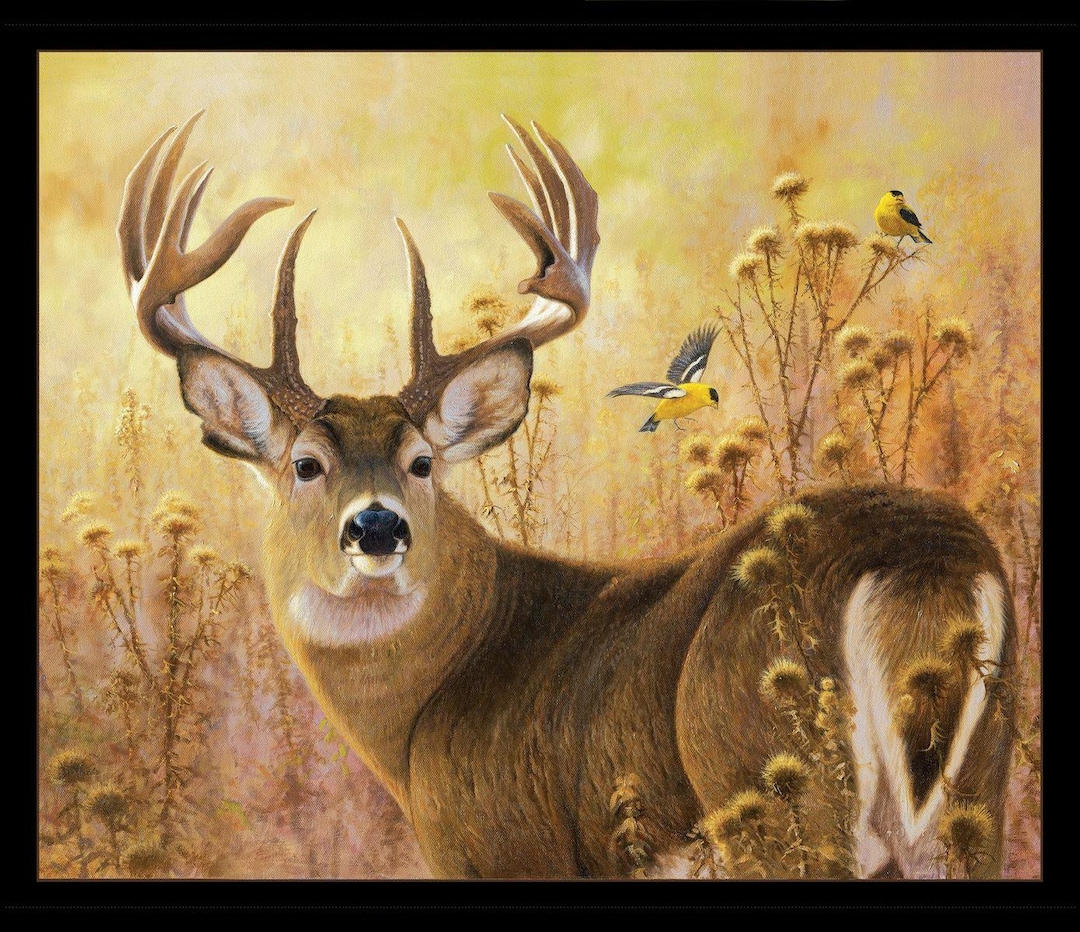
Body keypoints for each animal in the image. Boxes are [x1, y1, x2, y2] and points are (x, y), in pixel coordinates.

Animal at [117, 111, 1017, 880]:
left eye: (420, 462)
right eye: (305, 464)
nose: (376, 527)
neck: (434, 697)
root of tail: (922, 562)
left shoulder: (501, 846)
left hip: (775, 787)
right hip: (979, 791)